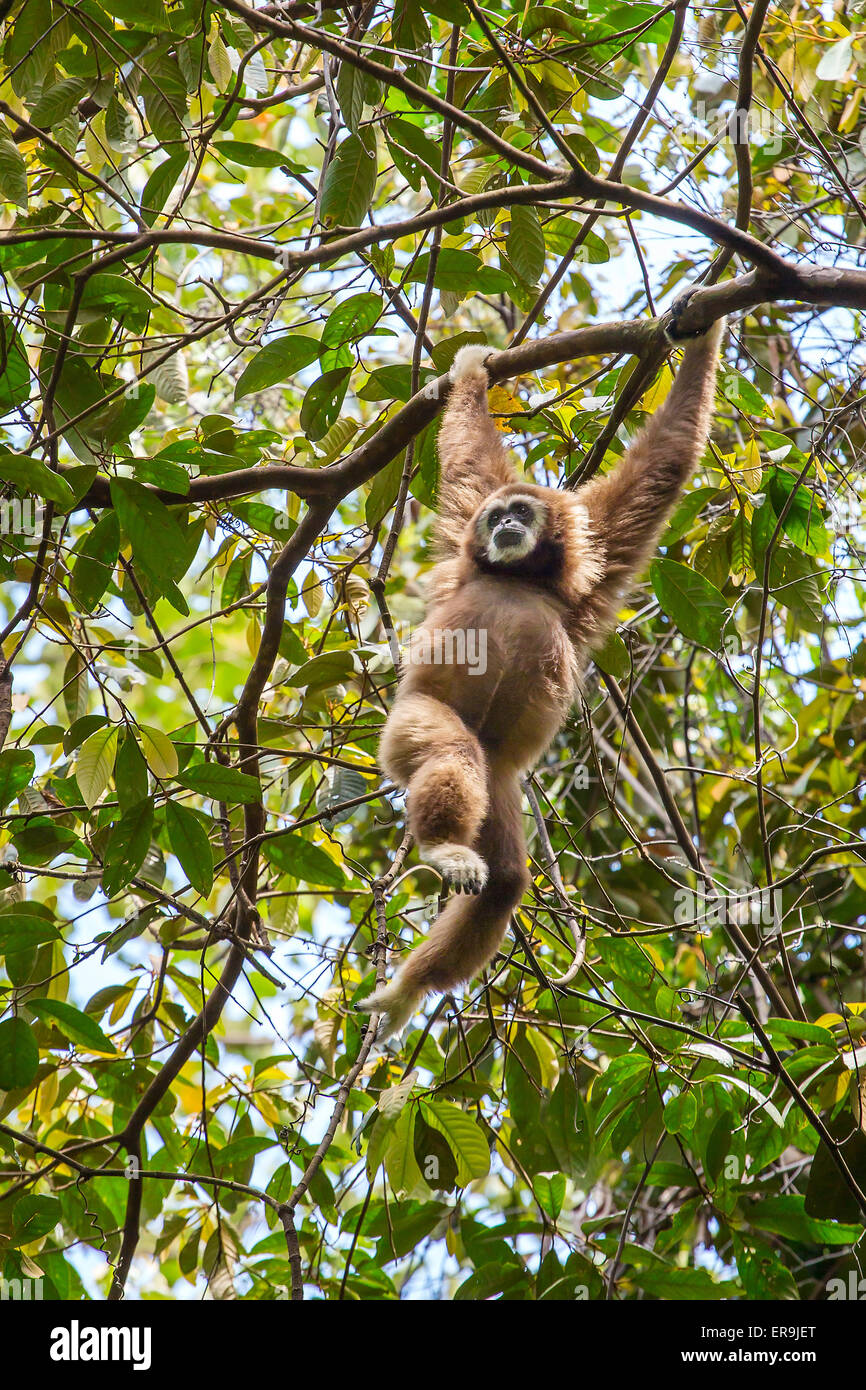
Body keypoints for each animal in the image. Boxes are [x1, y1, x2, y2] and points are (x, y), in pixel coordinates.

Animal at [359, 304, 726, 1037]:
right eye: (497, 514)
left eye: (521, 512)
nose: (504, 524)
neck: (518, 577)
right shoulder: (467, 533)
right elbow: (466, 456)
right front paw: (470, 373)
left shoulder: (585, 570)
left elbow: (661, 471)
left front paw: (700, 333)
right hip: (410, 723)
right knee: (448, 750)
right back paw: (442, 850)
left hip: (501, 781)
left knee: (504, 881)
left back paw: (410, 988)